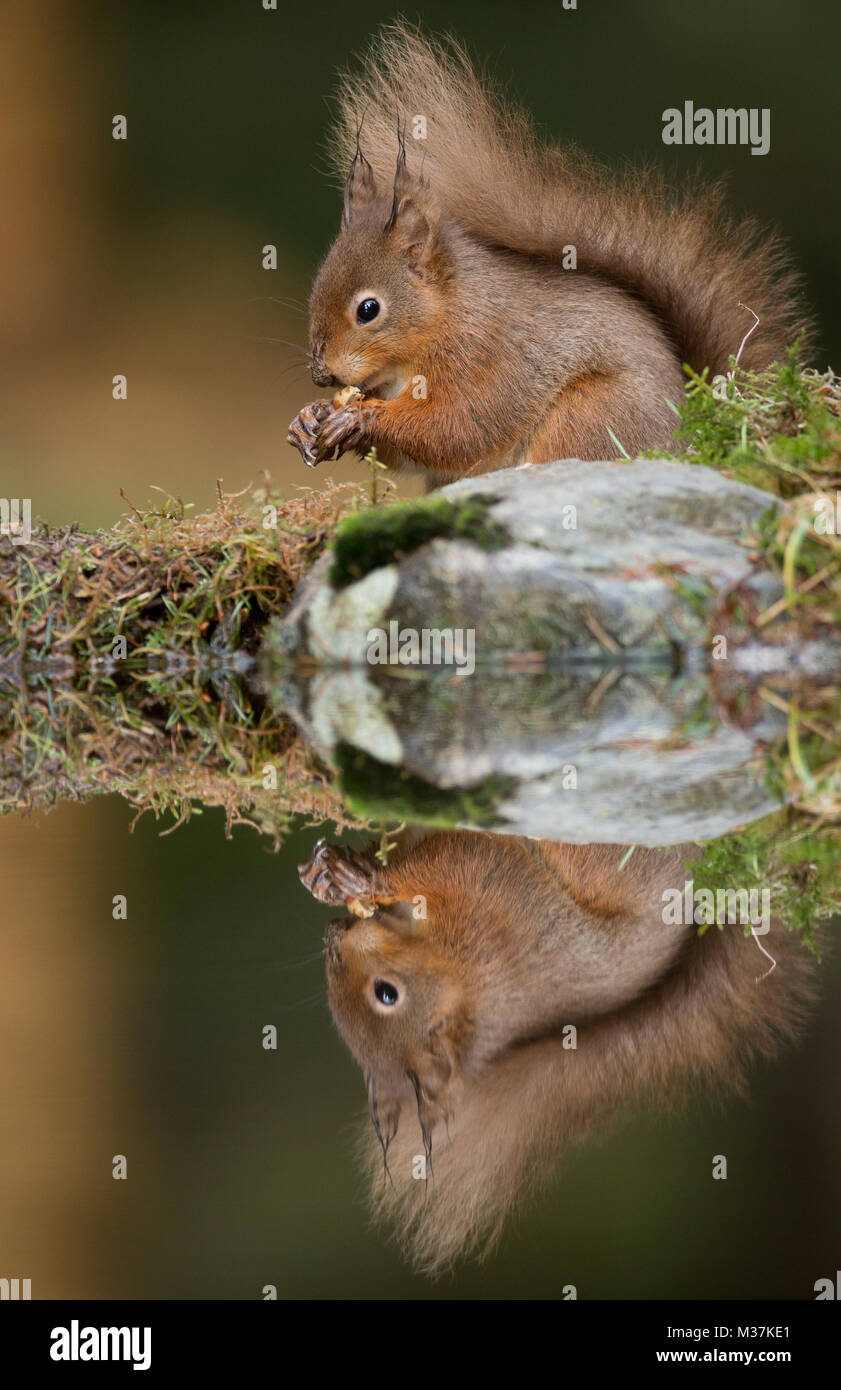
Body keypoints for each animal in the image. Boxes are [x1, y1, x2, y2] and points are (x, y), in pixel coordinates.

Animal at [287, 23, 808, 485]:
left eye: (368, 309)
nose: (320, 373)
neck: (447, 312)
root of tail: (691, 442)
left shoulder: (490, 354)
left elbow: (459, 426)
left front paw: (360, 419)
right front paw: (308, 419)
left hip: (594, 412)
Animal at [298, 829, 818, 1274]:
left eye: (386, 993)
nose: (331, 939)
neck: (459, 977)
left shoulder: (488, 908)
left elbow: (449, 855)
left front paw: (349, 874)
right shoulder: (488, 910)